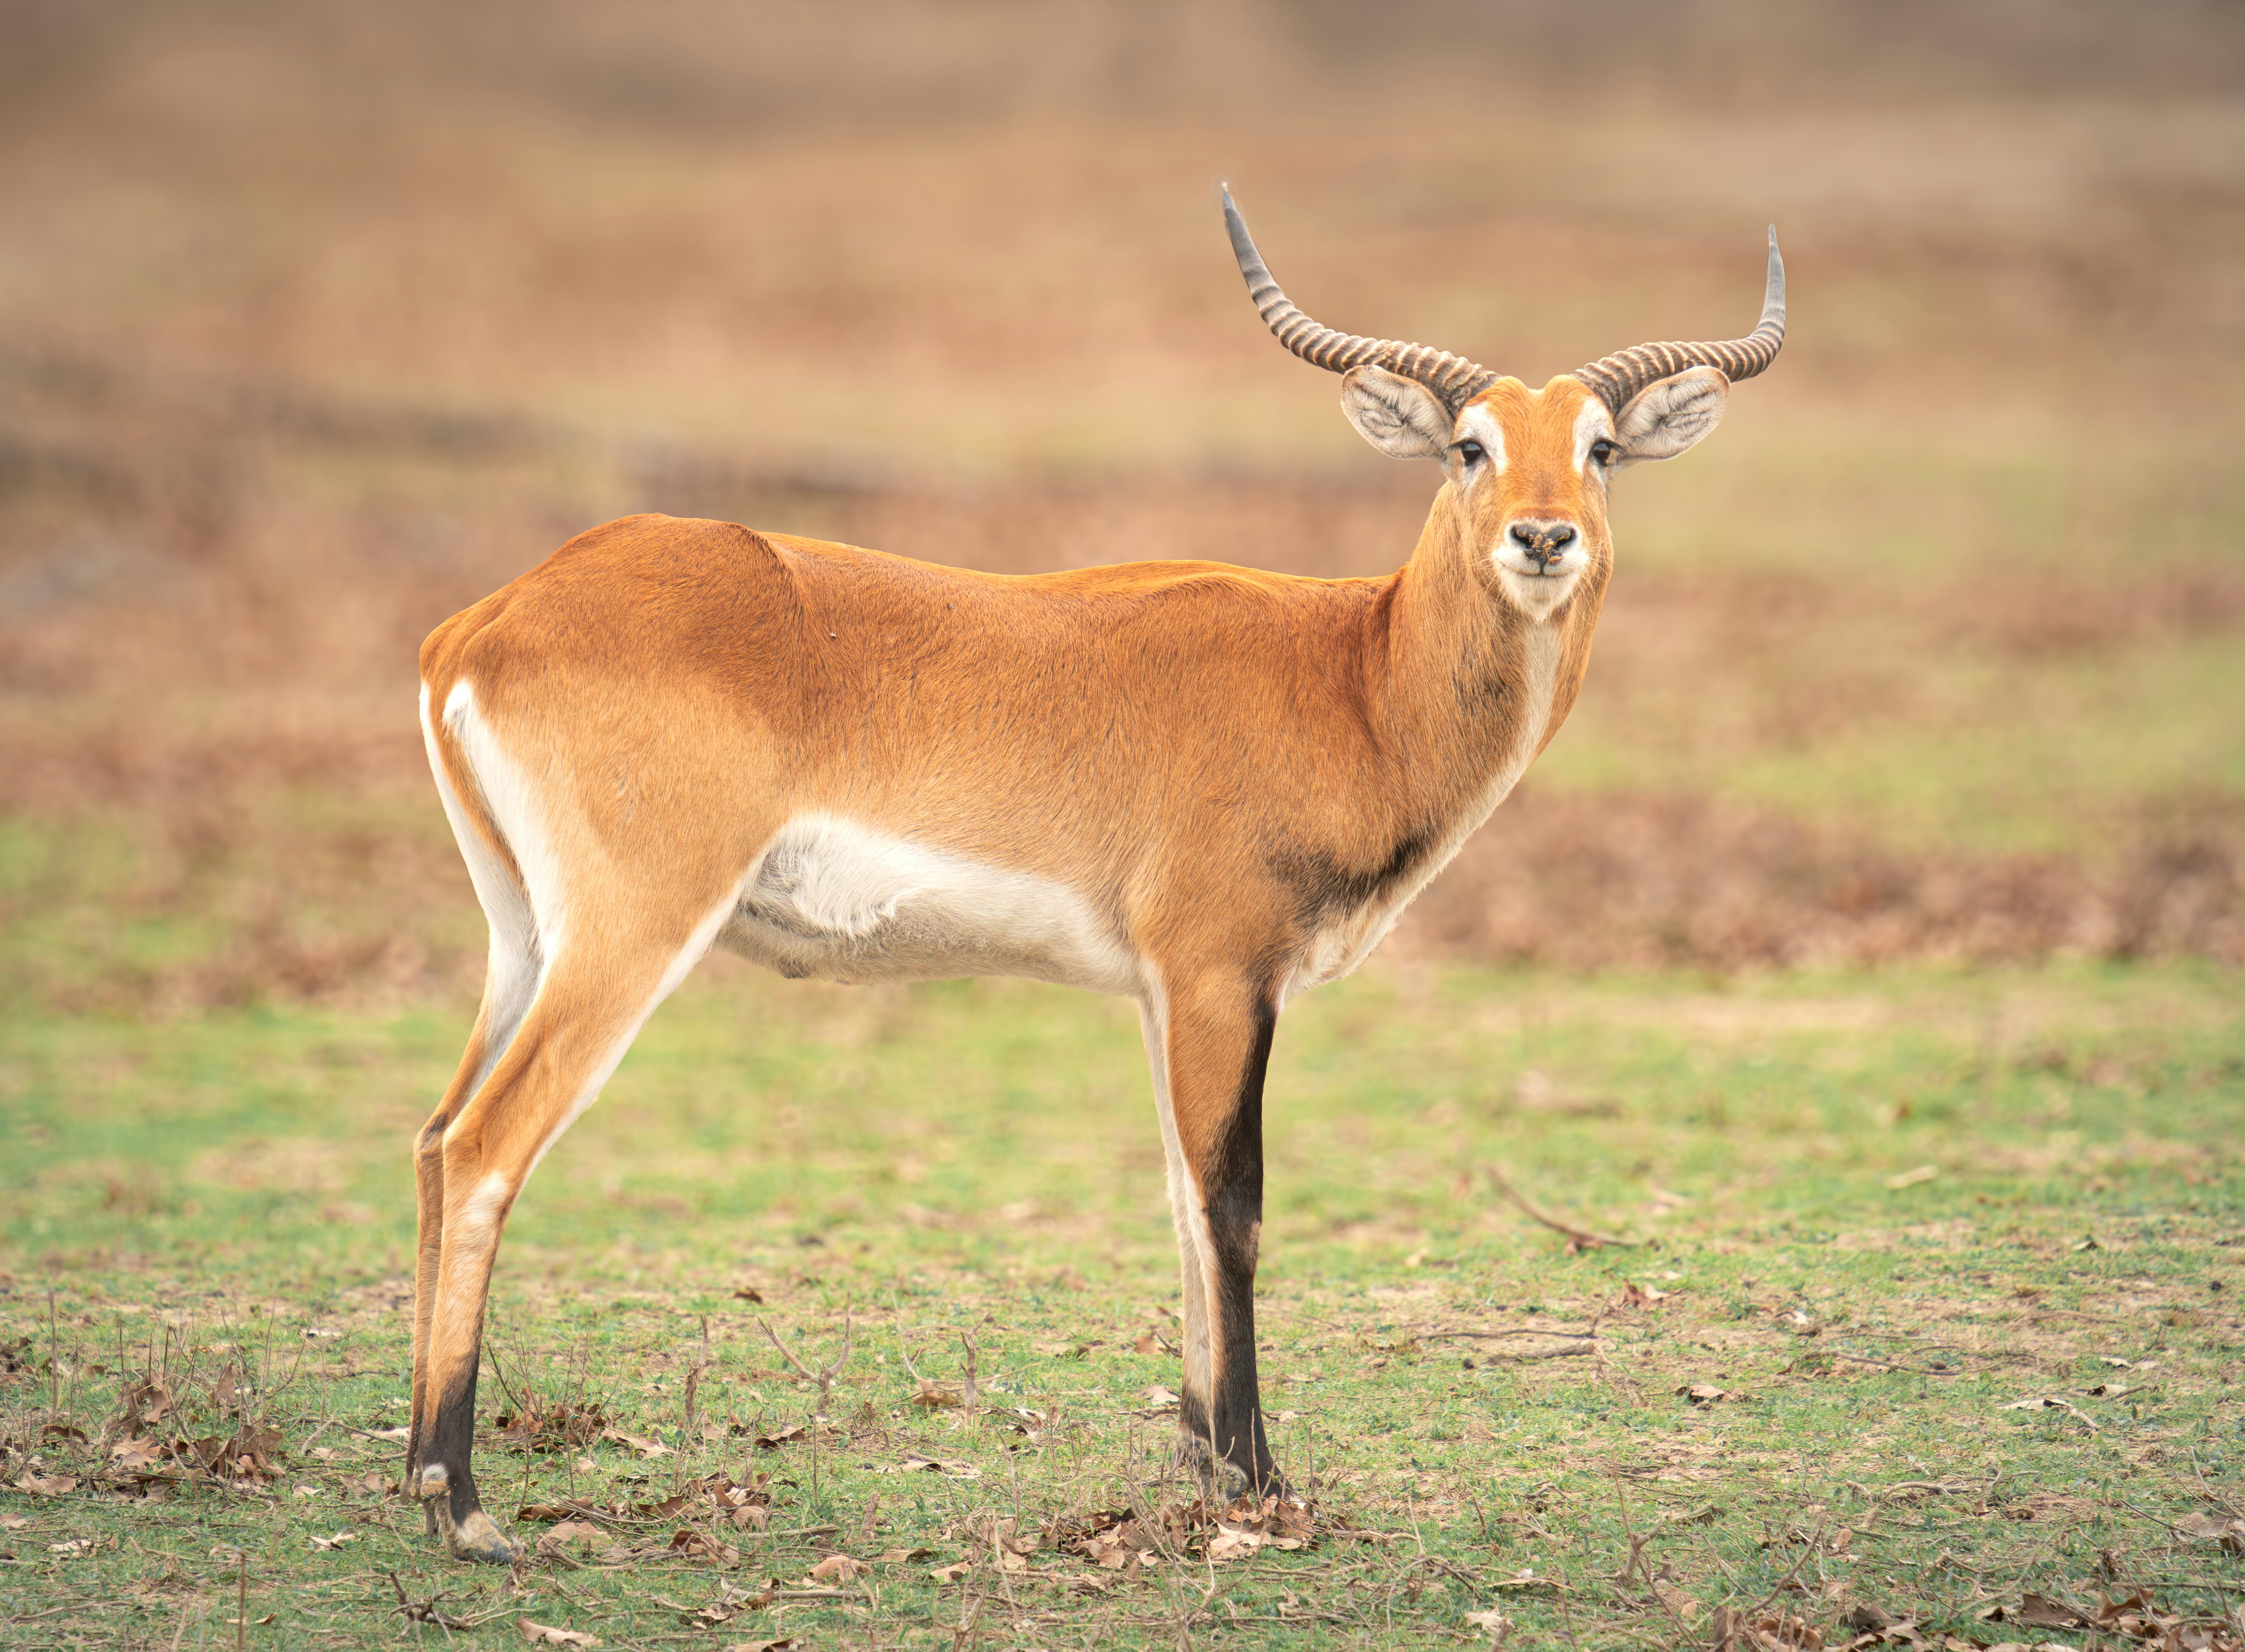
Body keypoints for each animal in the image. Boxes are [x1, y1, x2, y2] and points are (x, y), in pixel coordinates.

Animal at [407, 187, 1786, 1562]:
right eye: (1467, 445)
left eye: (1599, 446)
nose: (1542, 536)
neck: (1353, 674)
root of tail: (485, 619)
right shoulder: (1223, 971)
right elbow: (1232, 1199)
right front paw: (1260, 1481)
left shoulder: (1162, 990)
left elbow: (1176, 1192)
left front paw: (1203, 1463)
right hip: (631, 933)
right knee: (485, 1143)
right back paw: (466, 1504)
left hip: (523, 937)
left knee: (430, 1137)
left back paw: (423, 1472)